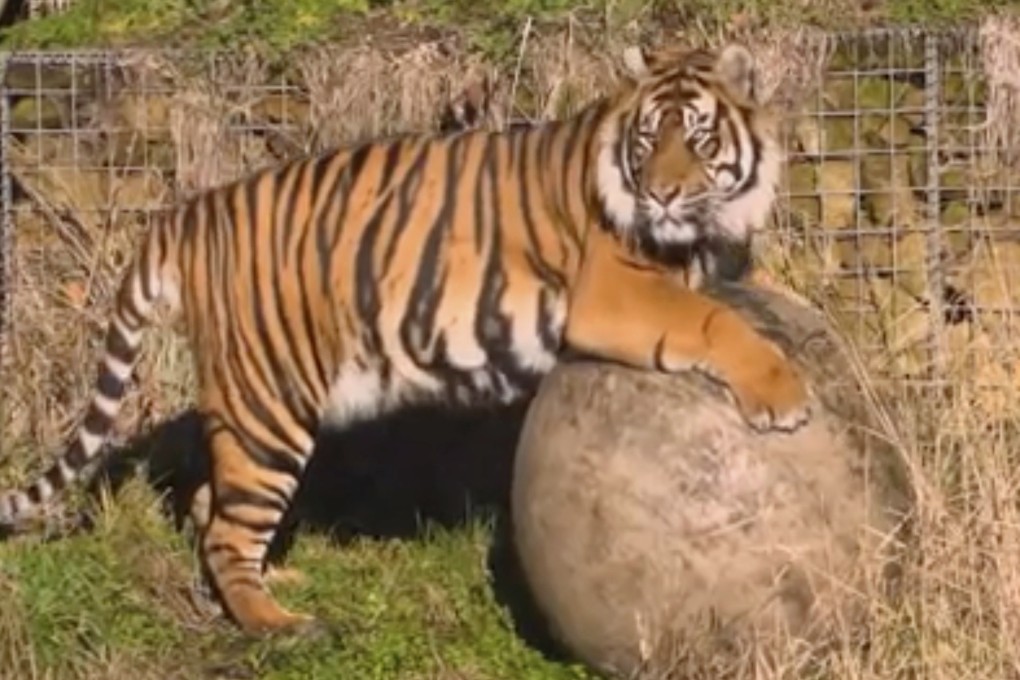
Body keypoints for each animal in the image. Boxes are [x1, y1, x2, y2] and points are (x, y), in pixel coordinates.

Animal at [0, 41, 811, 637]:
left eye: (698, 138)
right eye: (648, 139)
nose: (663, 194)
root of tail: (183, 214)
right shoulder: (612, 293)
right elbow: (712, 320)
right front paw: (783, 394)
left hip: (254, 413)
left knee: (211, 506)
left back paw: (276, 579)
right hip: (270, 405)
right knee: (228, 528)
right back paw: (278, 623)